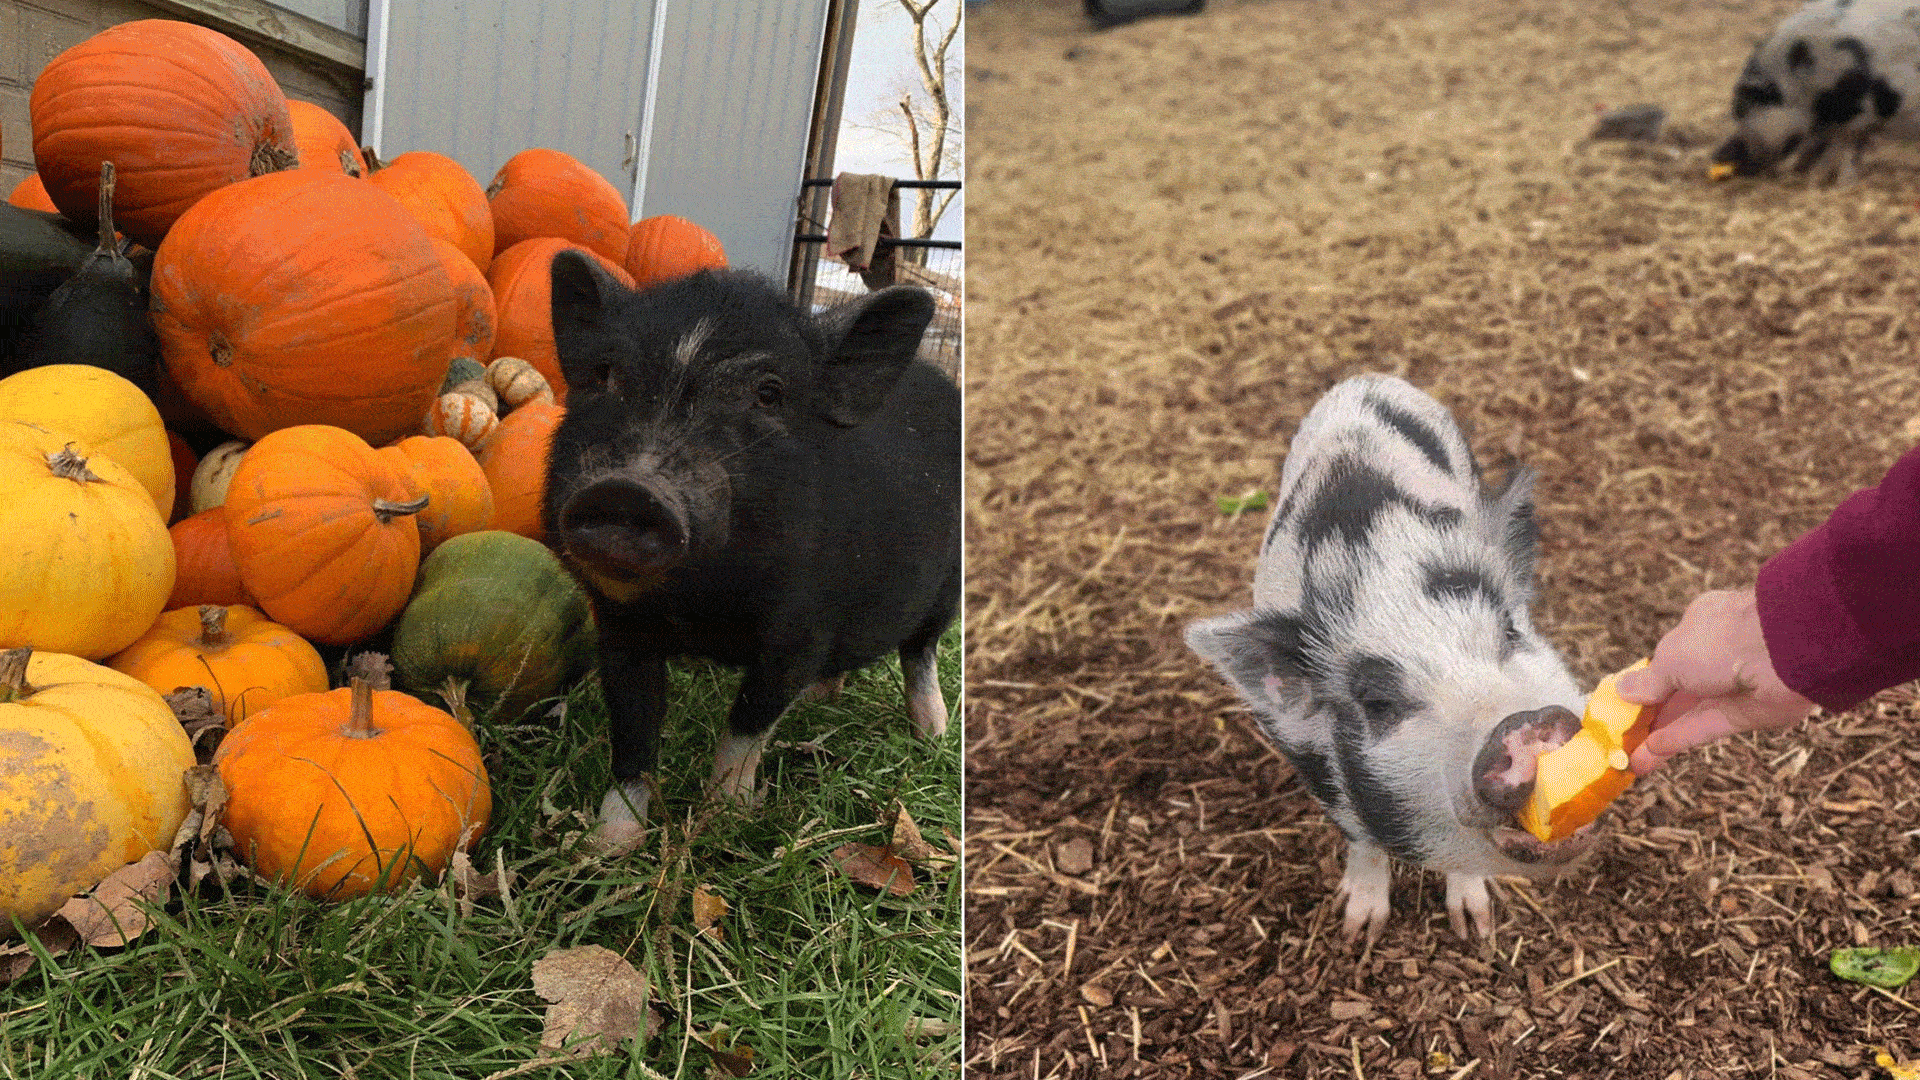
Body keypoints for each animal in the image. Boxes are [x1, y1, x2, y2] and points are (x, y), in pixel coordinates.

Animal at [542, 252, 961, 853]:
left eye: (768, 393)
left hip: (947, 590)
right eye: (608, 376)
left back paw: (933, 735)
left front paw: (724, 821)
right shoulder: (622, 630)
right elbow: (634, 733)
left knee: (920, 653)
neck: (700, 606)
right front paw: (606, 847)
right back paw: (820, 701)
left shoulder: (801, 632)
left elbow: (745, 725)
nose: (627, 489)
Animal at [1185, 374, 1593, 942]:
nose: (1523, 725)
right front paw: (1357, 932)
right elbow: (1361, 838)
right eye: (1377, 701)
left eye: (1510, 631)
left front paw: (1476, 929)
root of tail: (1367, 378)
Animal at [1711, 0, 1920, 184]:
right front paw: (1806, 173)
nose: (1717, 155)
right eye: (1737, 111)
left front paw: (1834, 182)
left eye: (1744, 107)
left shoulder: (1858, 114)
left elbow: (1846, 147)